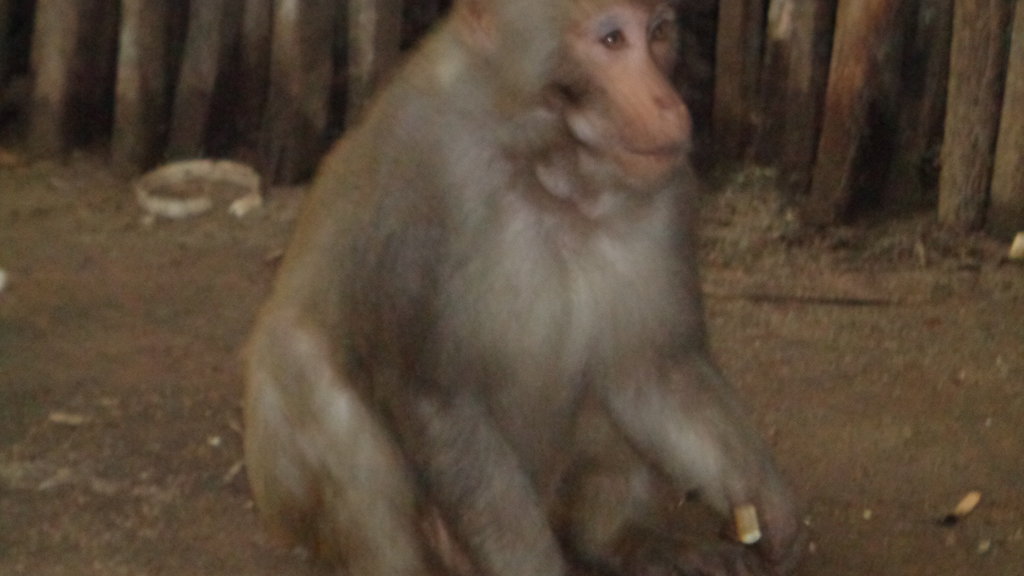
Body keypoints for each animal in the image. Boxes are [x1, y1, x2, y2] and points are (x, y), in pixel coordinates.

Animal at [243, 1, 803, 575]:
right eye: (611, 39)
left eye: (658, 33)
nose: (668, 102)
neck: (546, 168)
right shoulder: (422, 181)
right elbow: (436, 395)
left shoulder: (666, 195)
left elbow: (653, 367)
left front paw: (766, 509)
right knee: (304, 367)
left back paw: (622, 541)